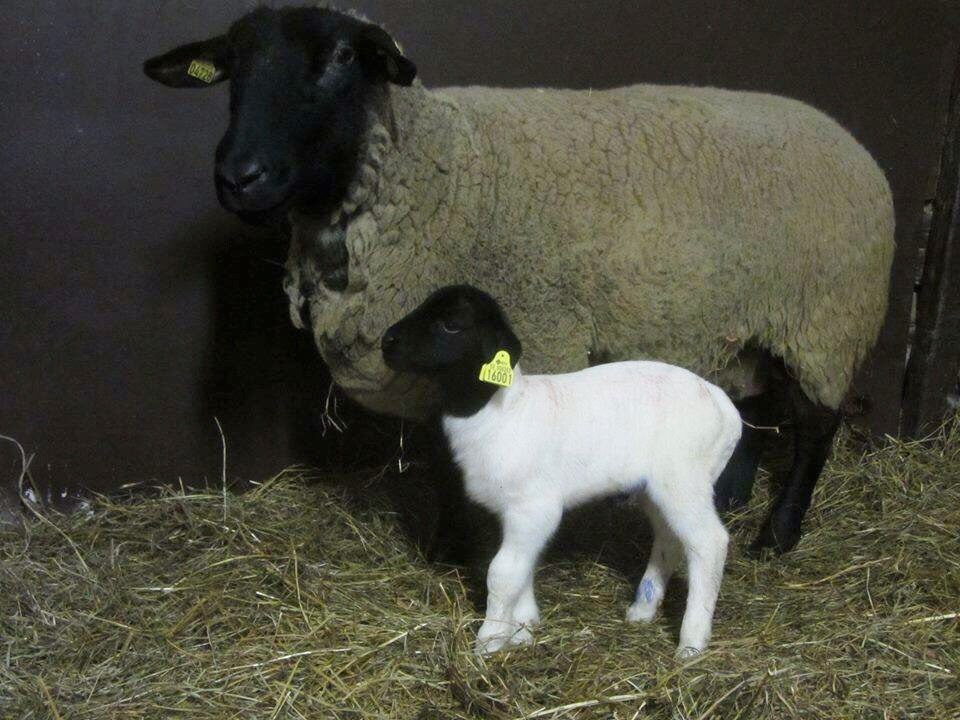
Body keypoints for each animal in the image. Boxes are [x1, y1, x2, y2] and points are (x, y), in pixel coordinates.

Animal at [143, 5, 896, 553]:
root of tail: (845, 138)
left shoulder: (529, 336)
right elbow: (442, 459)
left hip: (825, 320)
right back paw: (728, 498)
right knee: (749, 405)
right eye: (231, 67)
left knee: (816, 427)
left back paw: (778, 535)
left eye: (340, 59)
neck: (434, 169)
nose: (239, 176)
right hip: (744, 324)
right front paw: (445, 547)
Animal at [381, 285, 742, 657]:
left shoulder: (534, 507)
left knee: (709, 542)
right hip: (656, 488)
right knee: (670, 538)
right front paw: (523, 628)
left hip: (685, 479)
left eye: (451, 324)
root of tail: (724, 405)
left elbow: (502, 573)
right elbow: (522, 569)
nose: (386, 342)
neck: (501, 414)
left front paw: (490, 641)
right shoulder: (516, 514)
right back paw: (642, 610)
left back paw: (691, 643)